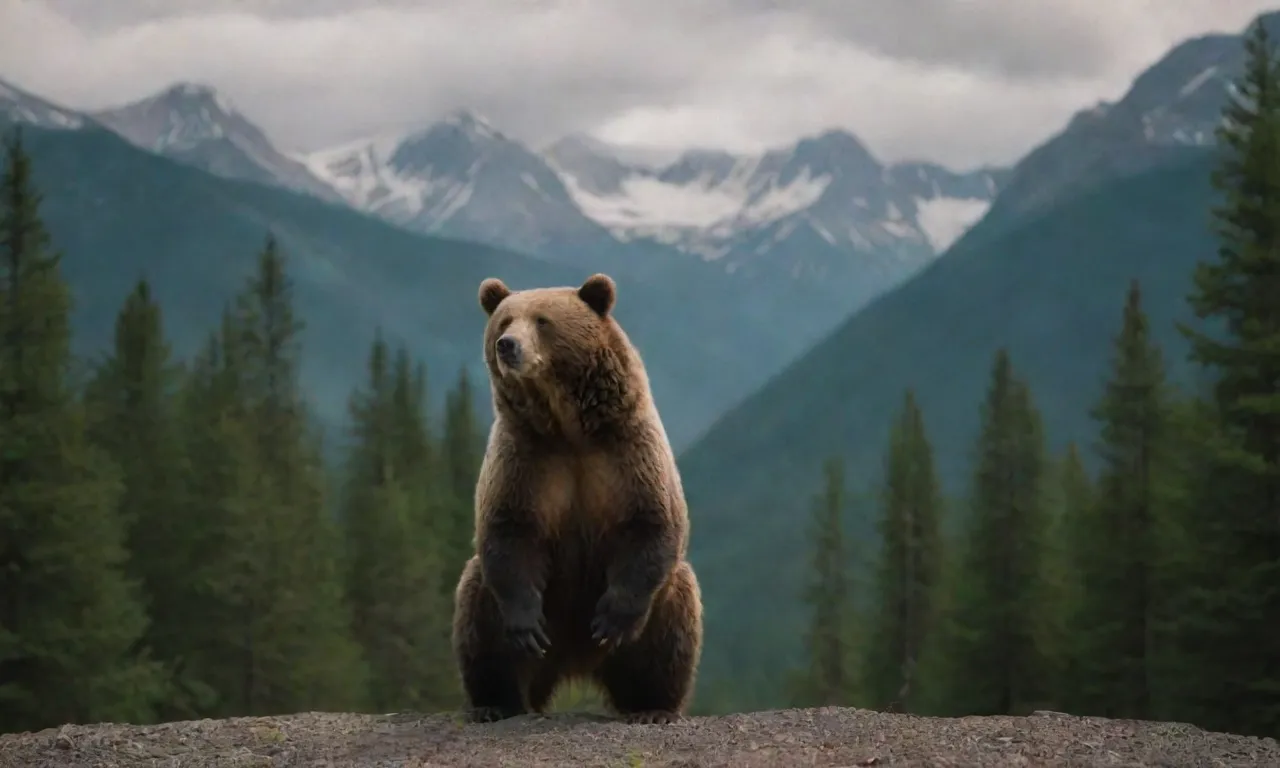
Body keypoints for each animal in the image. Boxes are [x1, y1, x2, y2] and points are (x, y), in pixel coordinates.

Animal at [451, 272, 703, 726]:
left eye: (542, 320)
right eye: (505, 321)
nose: (507, 345)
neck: (568, 428)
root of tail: (573, 663)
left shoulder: (627, 453)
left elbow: (652, 522)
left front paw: (612, 620)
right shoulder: (526, 461)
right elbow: (508, 532)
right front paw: (526, 625)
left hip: (652, 622)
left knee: (670, 630)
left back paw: (652, 707)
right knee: (479, 615)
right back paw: (494, 702)